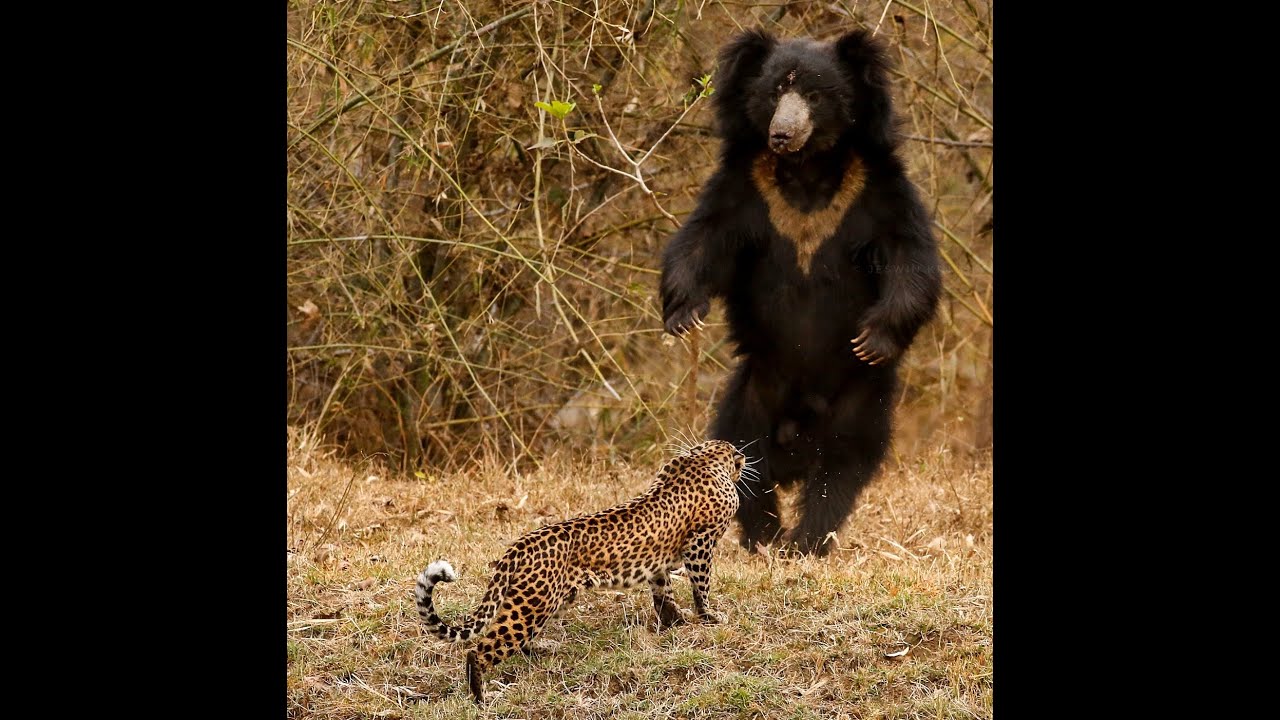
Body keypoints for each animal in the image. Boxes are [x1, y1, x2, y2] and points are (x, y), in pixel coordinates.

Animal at [414, 439, 751, 703]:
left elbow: (662, 590)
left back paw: (543, 648)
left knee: (523, 640)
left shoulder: (662, 561)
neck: (705, 458)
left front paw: (673, 621)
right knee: (482, 649)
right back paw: (481, 698)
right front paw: (708, 616)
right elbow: (701, 584)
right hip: (532, 604)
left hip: (547, 600)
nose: (744, 459)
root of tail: (519, 546)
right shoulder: (701, 543)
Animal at [659, 28, 942, 556]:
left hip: (858, 401)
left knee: (842, 466)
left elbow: (910, 257)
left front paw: (873, 339)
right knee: (745, 454)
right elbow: (704, 238)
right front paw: (683, 314)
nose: (781, 135)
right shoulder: (747, 185)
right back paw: (765, 537)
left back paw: (807, 541)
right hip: (753, 392)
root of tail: (797, 437)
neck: (808, 168)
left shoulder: (877, 188)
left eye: (813, 95)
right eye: (774, 92)